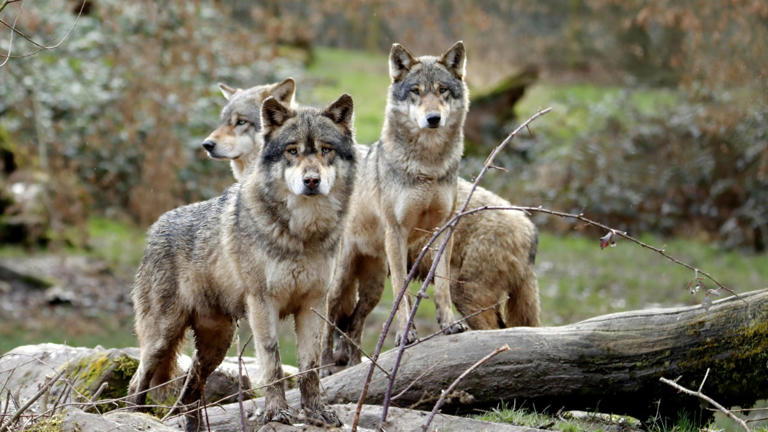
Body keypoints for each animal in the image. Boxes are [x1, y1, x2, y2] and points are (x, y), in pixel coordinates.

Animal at [127, 94, 356, 431]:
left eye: (325, 149)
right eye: (292, 151)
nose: (311, 181)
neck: (301, 233)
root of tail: (155, 227)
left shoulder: (314, 304)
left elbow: (310, 368)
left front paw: (316, 413)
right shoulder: (262, 304)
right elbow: (273, 364)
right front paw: (277, 412)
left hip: (216, 345)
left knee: (189, 392)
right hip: (162, 338)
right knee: (137, 383)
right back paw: (133, 416)